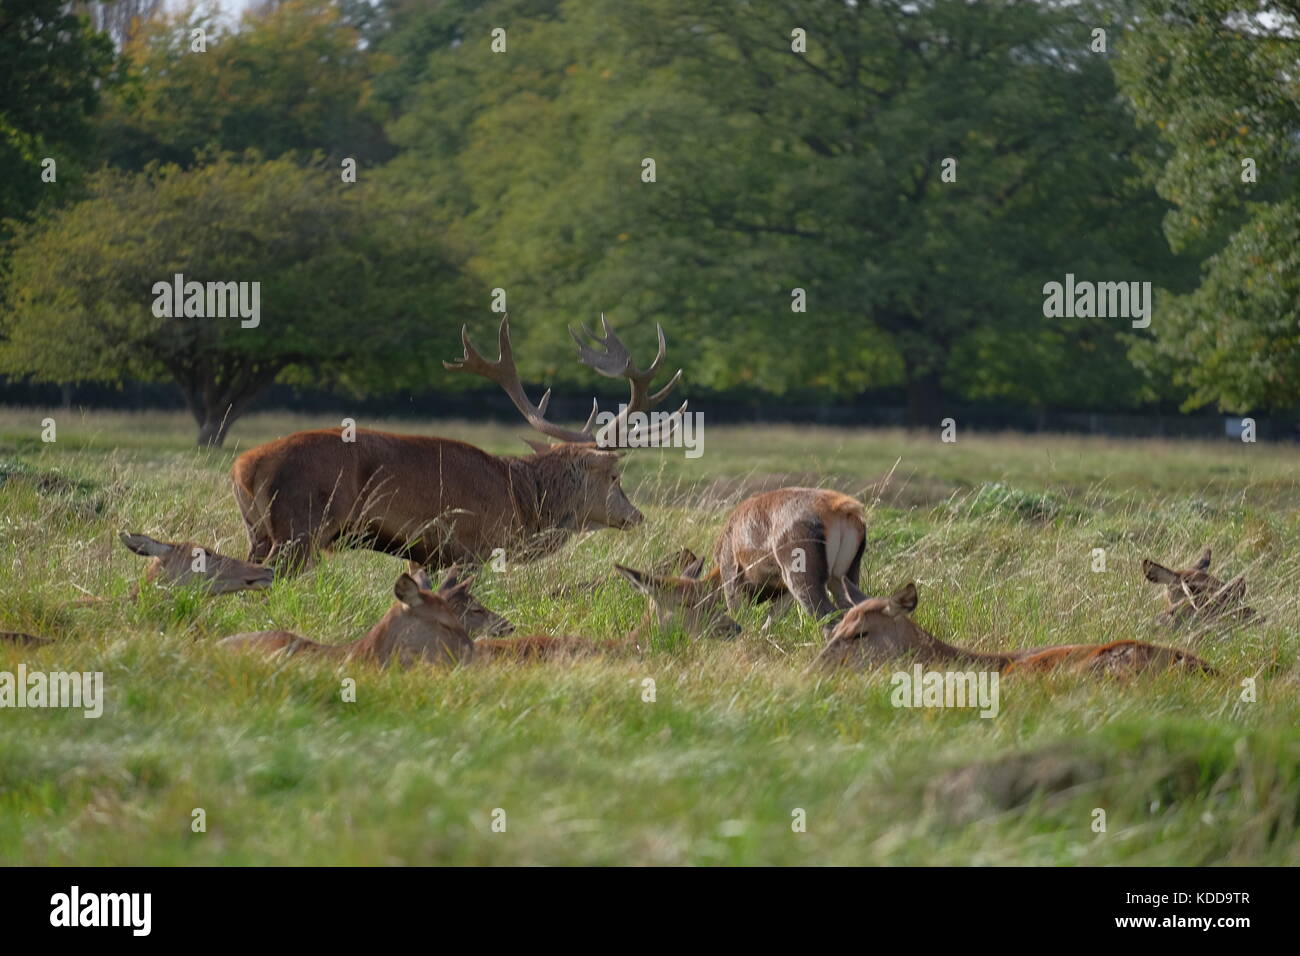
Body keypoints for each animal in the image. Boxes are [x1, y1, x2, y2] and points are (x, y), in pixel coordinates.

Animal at [229, 315, 685, 577]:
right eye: (615, 475)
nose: (636, 515)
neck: (522, 504)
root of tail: (245, 468)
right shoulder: (470, 548)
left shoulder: (425, 556)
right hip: (299, 525)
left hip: (258, 531)